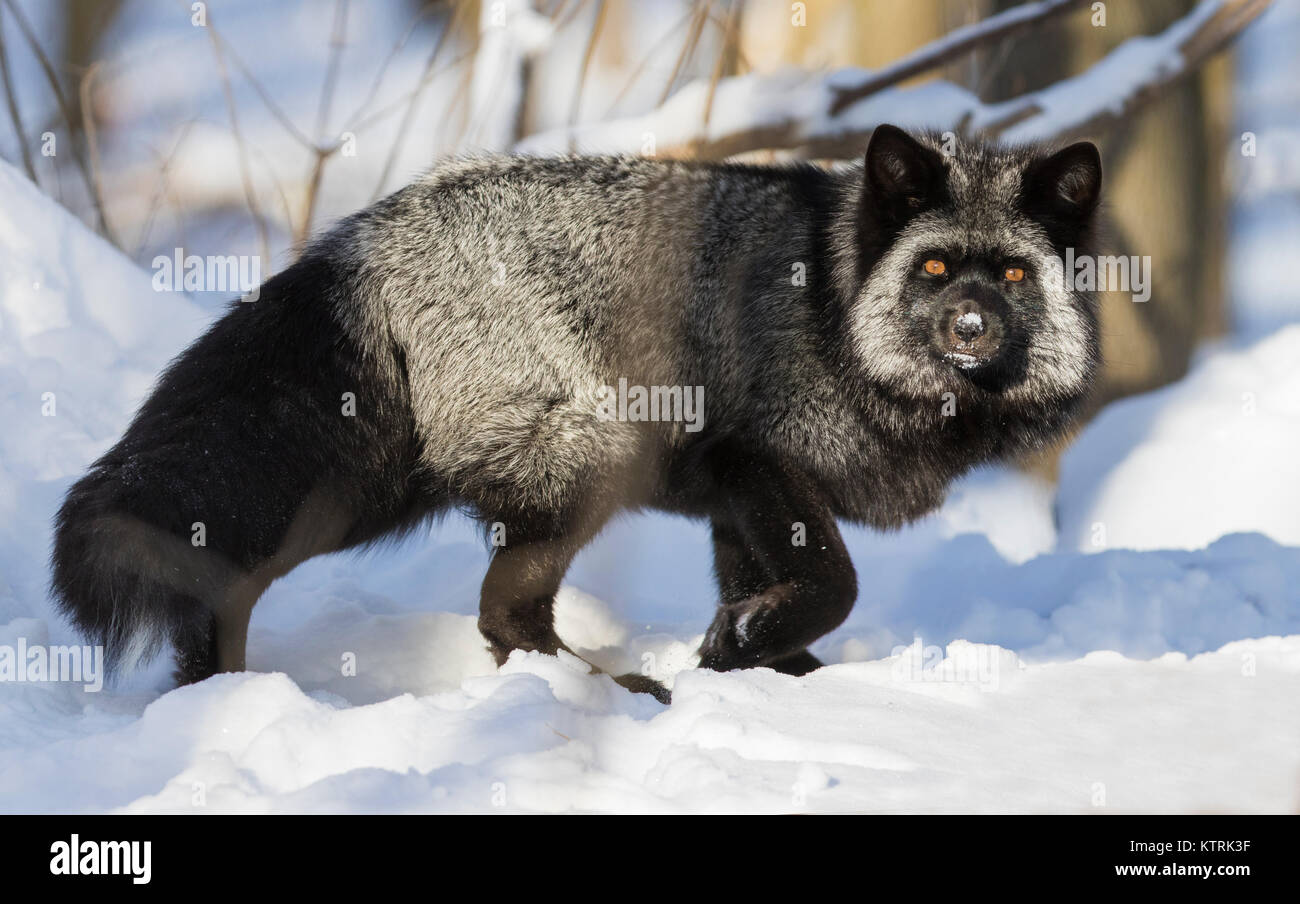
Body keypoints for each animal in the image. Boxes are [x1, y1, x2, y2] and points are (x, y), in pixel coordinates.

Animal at [51, 125, 1102, 702]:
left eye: (1012, 275)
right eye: (934, 267)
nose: (970, 326)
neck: (835, 313)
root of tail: (371, 236)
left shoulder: (734, 494)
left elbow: (765, 591)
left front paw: (762, 670)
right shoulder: (756, 457)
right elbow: (833, 585)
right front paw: (741, 653)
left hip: (376, 482)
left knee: (239, 576)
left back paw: (215, 693)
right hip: (584, 458)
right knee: (503, 613)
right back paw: (609, 690)